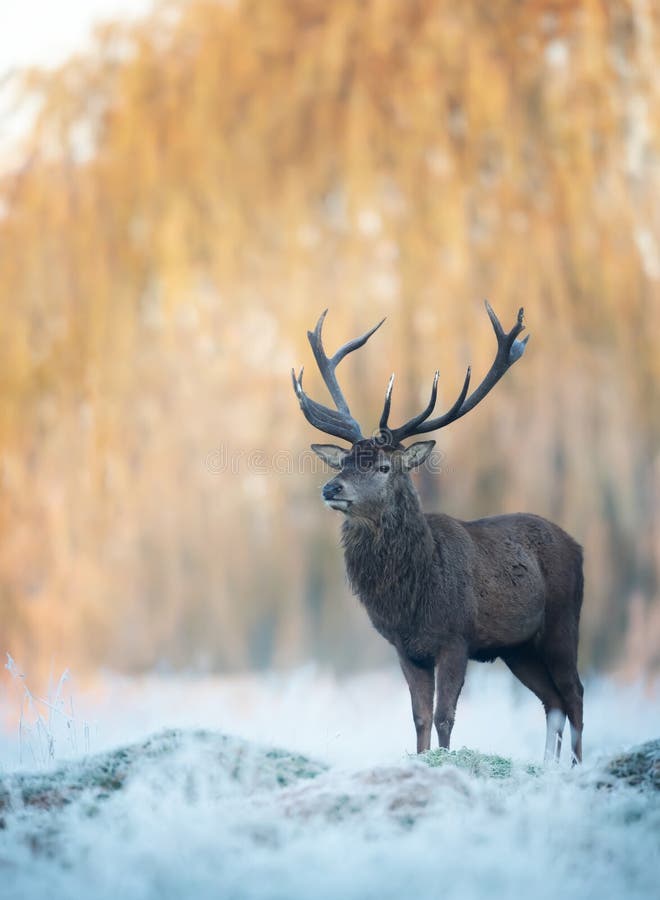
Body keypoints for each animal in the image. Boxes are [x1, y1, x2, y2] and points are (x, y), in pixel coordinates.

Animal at [292, 304, 584, 763]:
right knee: (551, 700)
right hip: (517, 648)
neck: (412, 594)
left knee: (575, 694)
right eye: (344, 462)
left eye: (383, 466)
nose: (331, 488)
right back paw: (548, 767)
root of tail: (579, 547)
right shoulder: (406, 647)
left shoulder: (455, 637)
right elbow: (420, 718)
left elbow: (446, 717)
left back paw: (578, 767)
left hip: (562, 619)